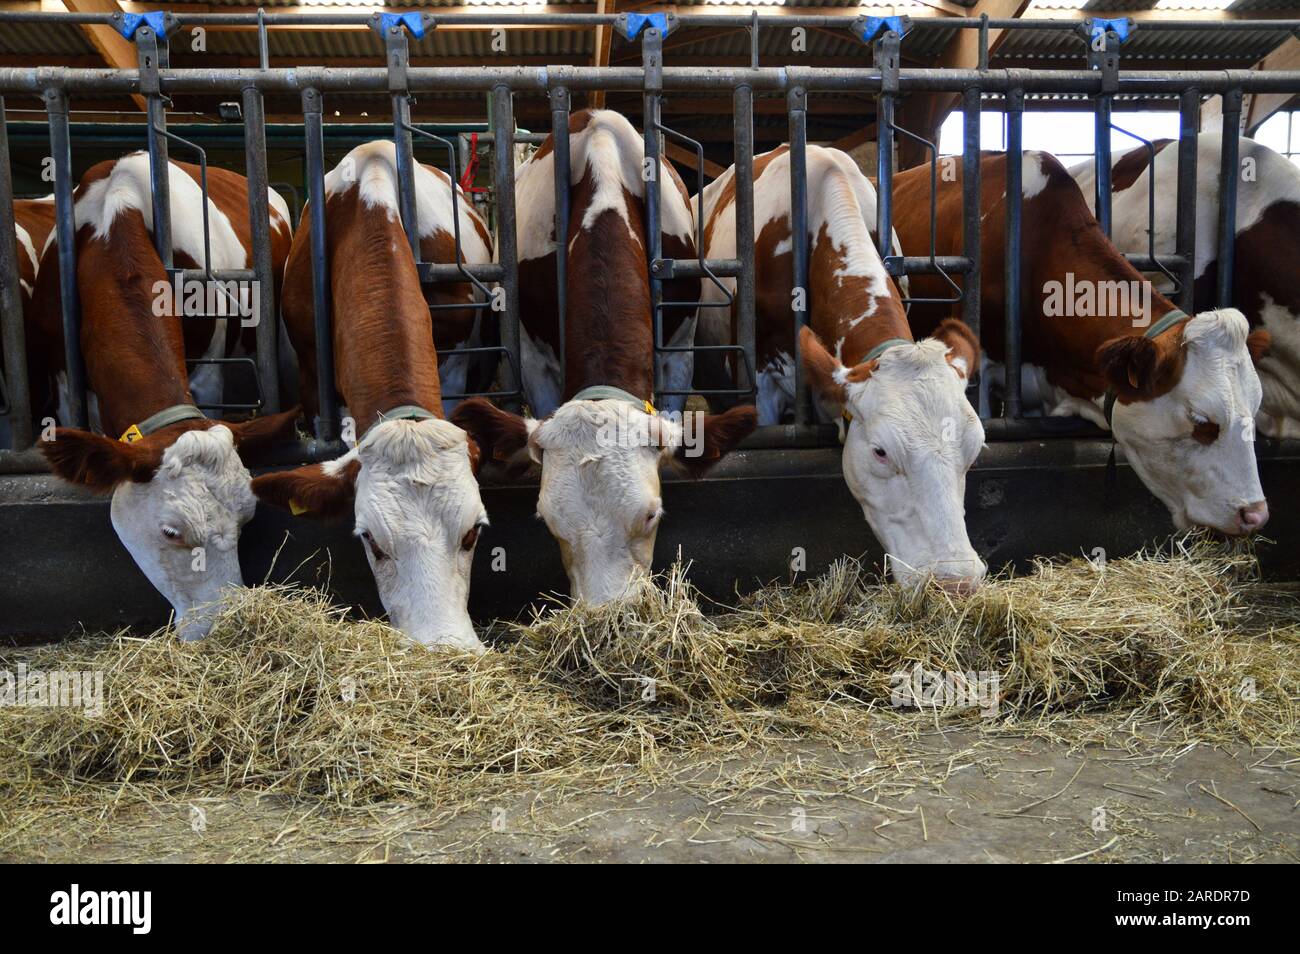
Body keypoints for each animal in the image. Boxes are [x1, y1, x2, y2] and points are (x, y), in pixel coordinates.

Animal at [29, 154, 299, 638]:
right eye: (172, 532)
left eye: (245, 519)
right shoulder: (61, 377)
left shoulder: (210, 365)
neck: (112, 220)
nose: (219, 627)